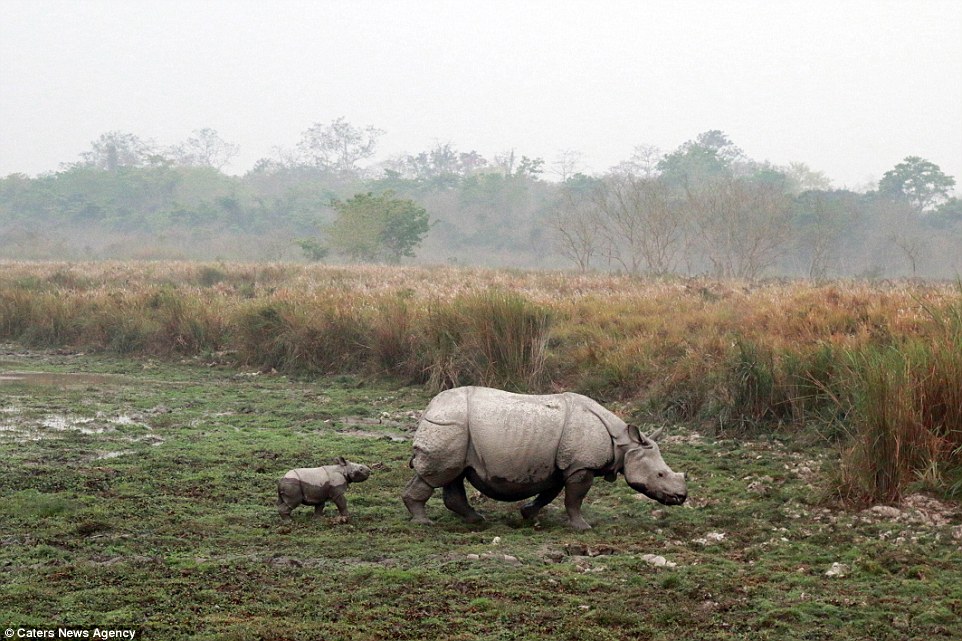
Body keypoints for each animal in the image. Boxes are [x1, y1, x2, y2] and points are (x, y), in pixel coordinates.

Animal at [403, 386, 687, 530]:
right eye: (660, 474)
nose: (681, 497)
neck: (623, 443)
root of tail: (431, 406)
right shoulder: (580, 466)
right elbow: (574, 499)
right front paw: (583, 528)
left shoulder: (562, 466)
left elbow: (549, 494)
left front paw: (528, 514)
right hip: (450, 425)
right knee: (438, 475)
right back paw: (423, 522)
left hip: (458, 431)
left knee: (454, 473)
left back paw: (476, 520)